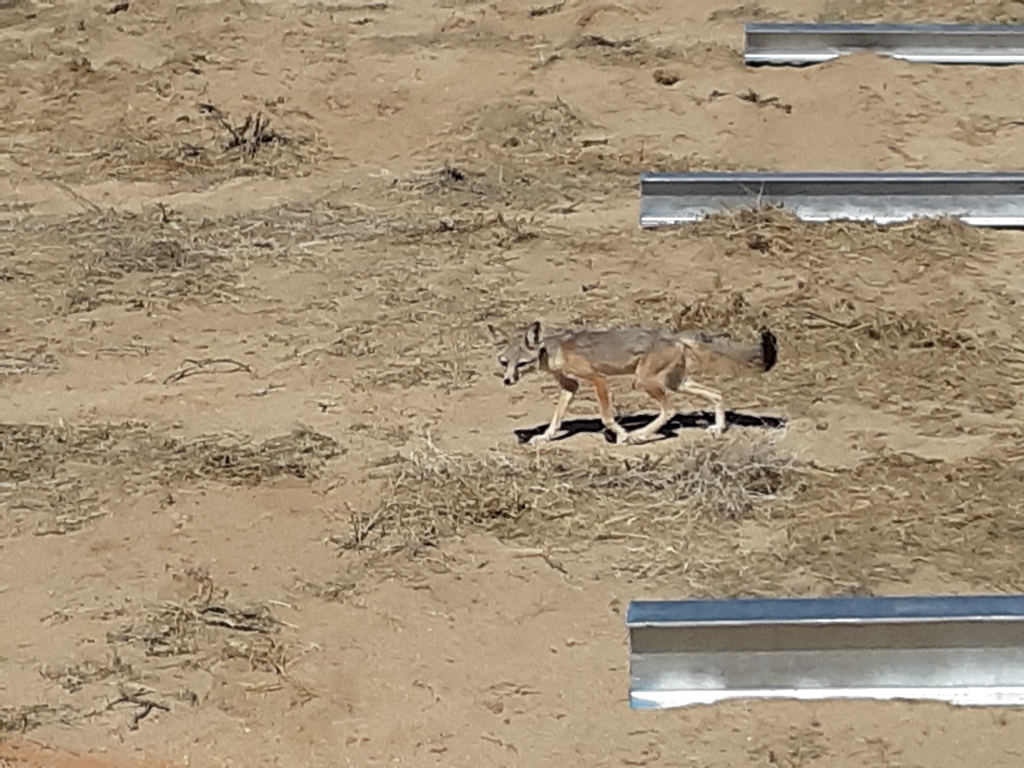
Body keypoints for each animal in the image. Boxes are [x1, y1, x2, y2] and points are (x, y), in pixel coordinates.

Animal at [490, 320, 778, 445]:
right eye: (505, 363)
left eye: (522, 363)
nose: (507, 380)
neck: (555, 350)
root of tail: (672, 334)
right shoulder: (570, 387)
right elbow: (557, 418)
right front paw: (545, 436)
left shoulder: (598, 379)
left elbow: (607, 417)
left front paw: (621, 433)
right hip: (676, 383)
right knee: (717, 394)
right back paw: (718, 428)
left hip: (645, 382)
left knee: (670, 411)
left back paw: (639, 435)